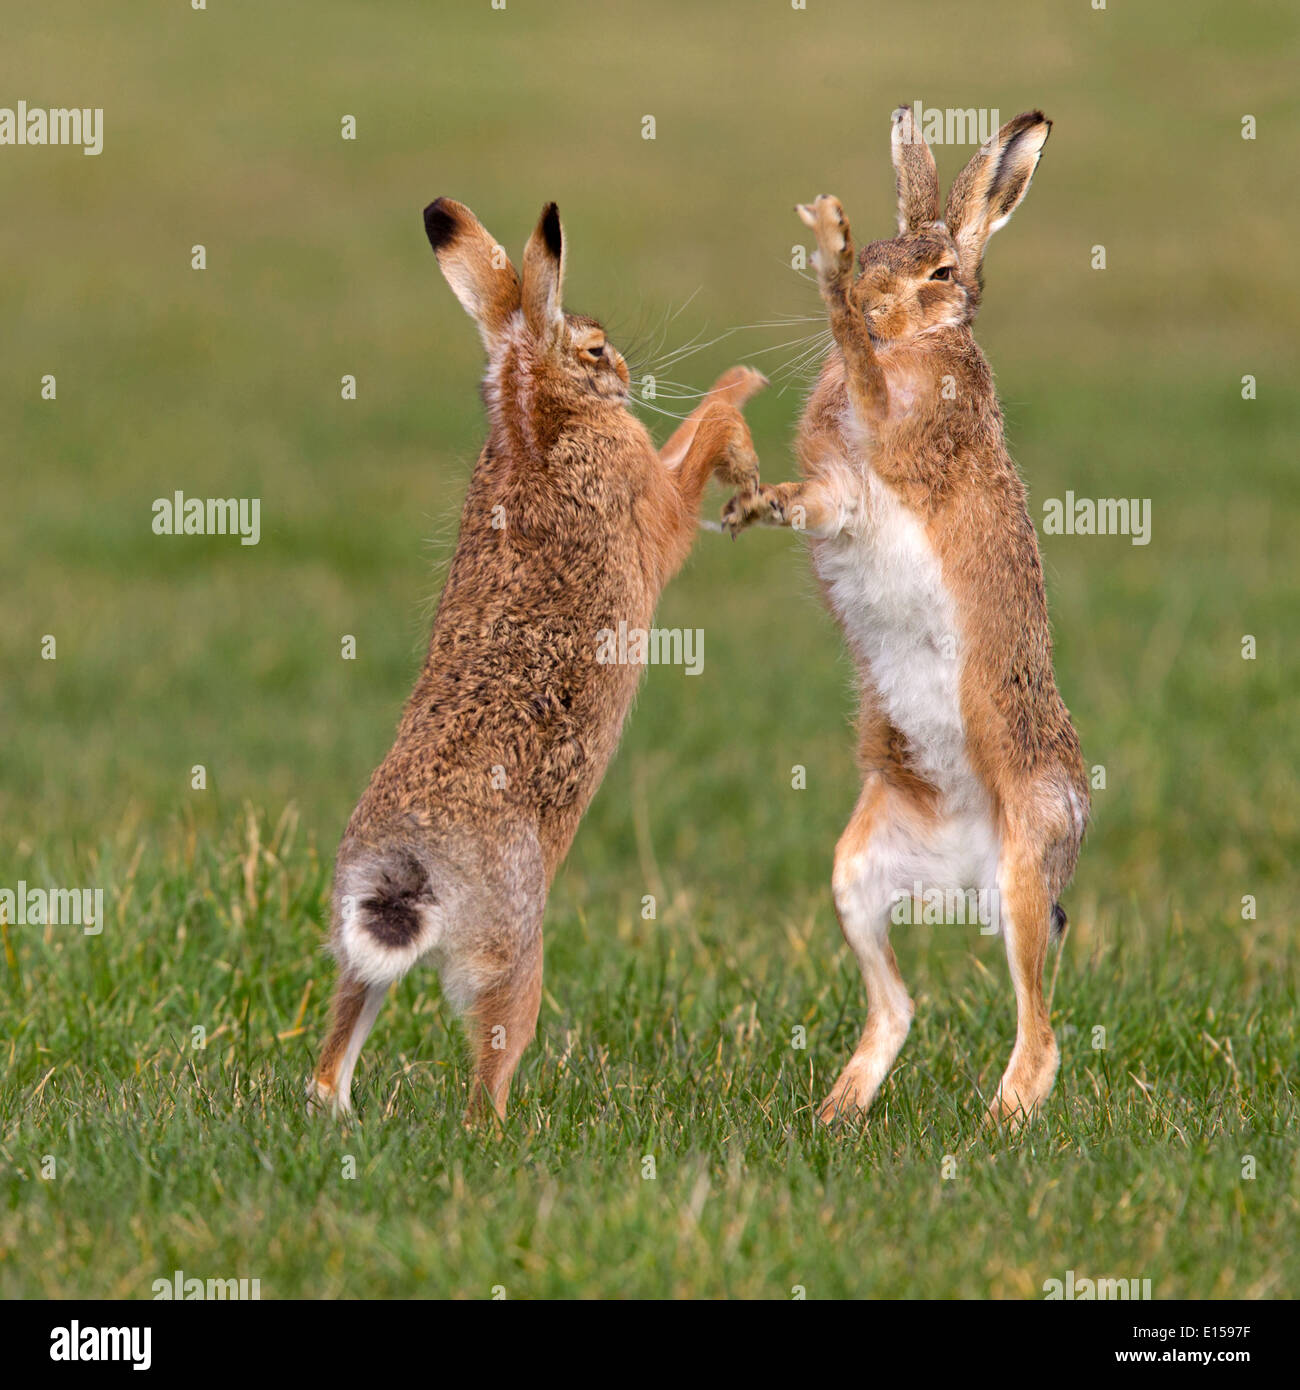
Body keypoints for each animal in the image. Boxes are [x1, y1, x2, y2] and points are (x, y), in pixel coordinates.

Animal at [310, 197, 766, 1121]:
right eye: (591, 347)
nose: (621, 371)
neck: (534, 408)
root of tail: (409, 863)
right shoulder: (654, 506)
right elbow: (698, 442)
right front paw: (743, 392)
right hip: (513, 951)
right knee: (491, 1065)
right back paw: (500, 1132)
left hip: (357, 948)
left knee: (333, 1050)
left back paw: (338, 1117)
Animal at [724, 107, 1088, 1127]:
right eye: (886, 254)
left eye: (941, 276)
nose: (876, 300)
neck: (915, 346)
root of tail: (962, 865)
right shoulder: (838, 494)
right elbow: (807, 497)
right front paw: (746, 504)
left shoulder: (899, 434)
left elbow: (869, 383)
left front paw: (830, 271)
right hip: (859, 868)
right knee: (899, 1005)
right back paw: (836, 1116)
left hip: (1026, 860)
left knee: (1040, 1036)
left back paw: (993, 1129)